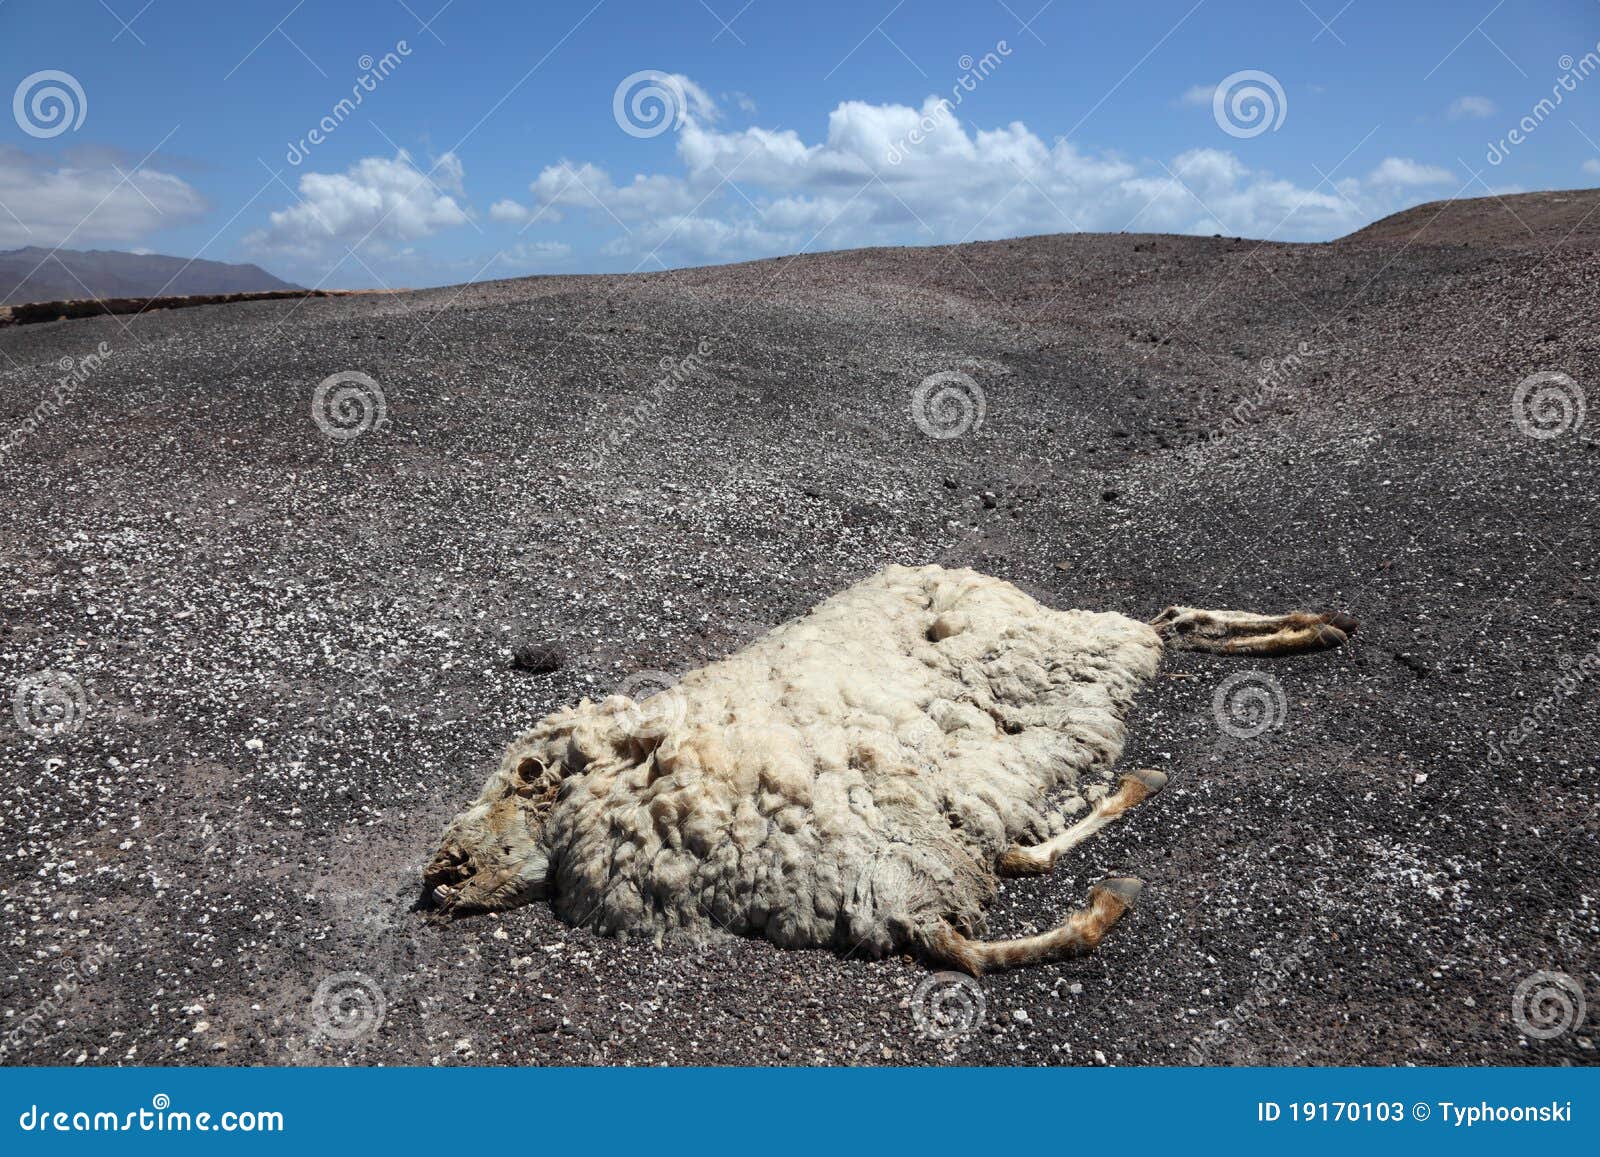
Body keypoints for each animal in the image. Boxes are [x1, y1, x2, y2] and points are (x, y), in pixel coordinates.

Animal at [424, 565, 1355, 973]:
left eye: (522, 774)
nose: (439, 872)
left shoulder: (877, 848)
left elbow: (967, 948)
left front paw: (1103, 892)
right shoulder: (877, 858)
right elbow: (962, 934)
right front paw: (1087, 864)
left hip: (1058, 649)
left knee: (1161, 620)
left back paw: (1313, 626)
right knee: (1166, 628)